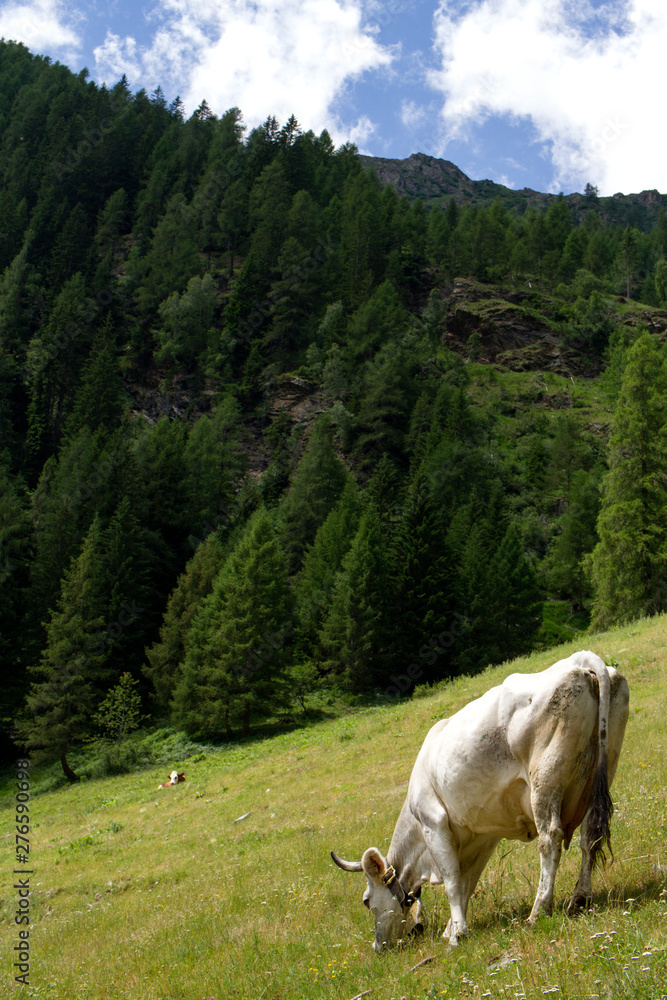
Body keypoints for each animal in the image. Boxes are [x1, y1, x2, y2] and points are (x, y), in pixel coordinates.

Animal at [331, 650, 629, 952]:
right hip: (603, 771)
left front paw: (457, 934)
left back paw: (538, 912)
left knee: (550, 839)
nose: (378, 946)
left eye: (366, 901)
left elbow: (452, 881)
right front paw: (451, 928)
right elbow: (468, 881)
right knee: (589, 837)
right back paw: (580, 900)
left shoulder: (433, 823)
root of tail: (581, 660)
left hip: (545, 781)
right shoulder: (483, 835)